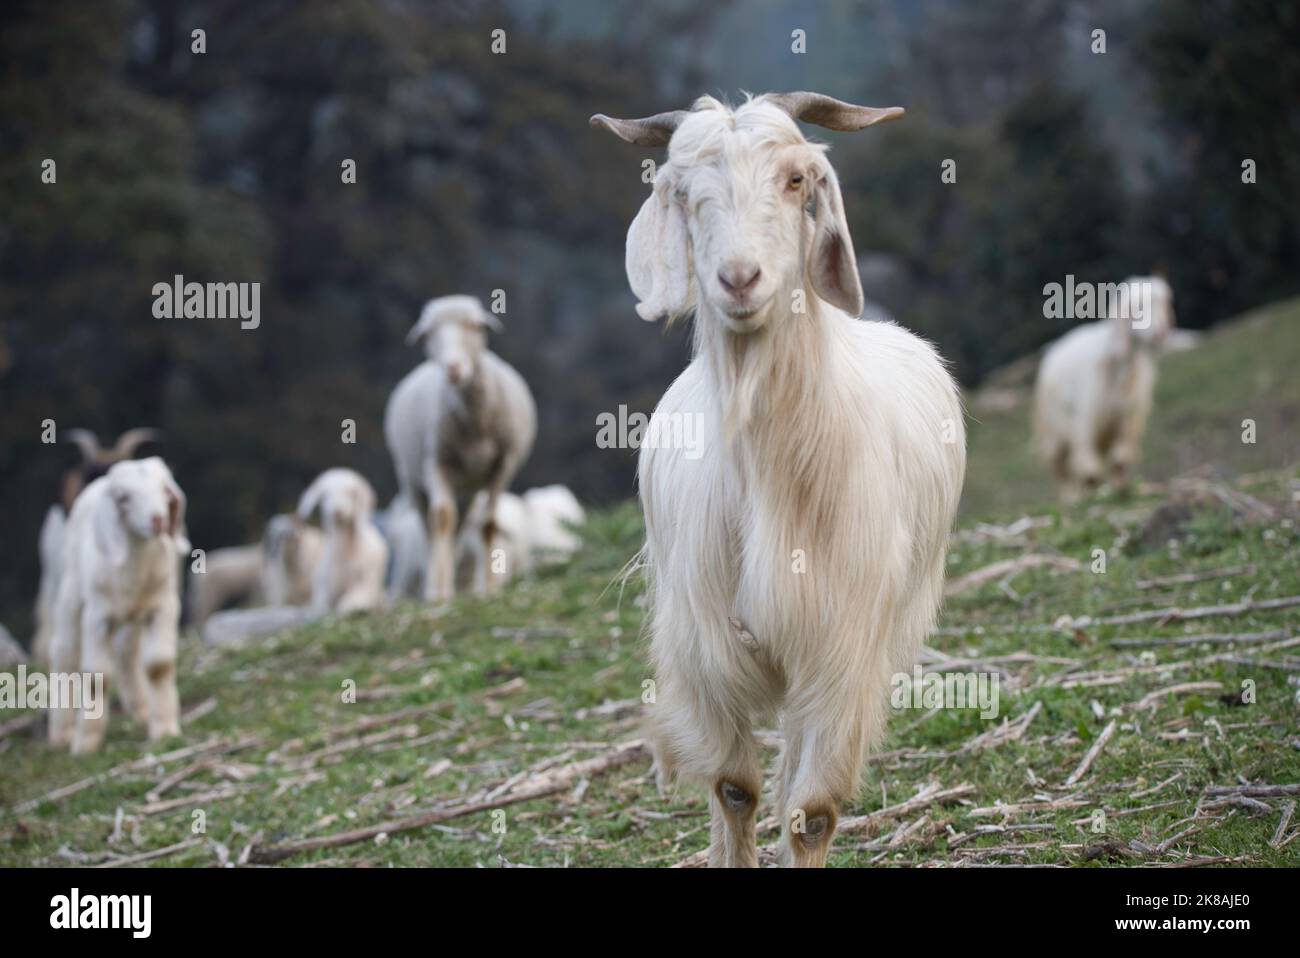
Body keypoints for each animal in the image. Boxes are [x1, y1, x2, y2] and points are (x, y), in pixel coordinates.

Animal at [48, 457, 186, 753]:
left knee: (127, 653)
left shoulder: (164, 606)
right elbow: (95, 675)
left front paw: (165, 730)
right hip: (71, 591)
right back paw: (61, 734)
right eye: (124, 499)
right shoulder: (97, 616)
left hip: (134, 617)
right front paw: (85, 744)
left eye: (165, 491)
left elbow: (158, 665)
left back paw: (142, 709)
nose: (158, 520)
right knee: (65, 651)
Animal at [384, 295, 537, 601]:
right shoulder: (437, 462)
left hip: (469, 487)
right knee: (432, 528)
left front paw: (488, 587)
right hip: (412, 478)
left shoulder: (502, 465)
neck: (475, 423)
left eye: (474, 326)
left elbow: (488, 525)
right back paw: (439, 582)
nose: (453, 368)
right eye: (428, 335)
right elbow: (442, 518)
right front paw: (437, 592)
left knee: (461, 525)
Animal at [593, 92, 966, 867]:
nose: (740, 281)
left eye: (796, 180)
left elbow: (813, 810)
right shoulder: (705, 650)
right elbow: (733, 788)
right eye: (682, 192)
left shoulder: (842, 647)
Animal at [1033, 275, 1175, 501]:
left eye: (1162, 304)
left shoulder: (1128, 416)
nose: (1160, 333)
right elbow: (1087, 465)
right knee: (1062, 470)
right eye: (1137, 308)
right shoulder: (1086, 416)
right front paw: (1093, 486)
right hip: (1054, 430)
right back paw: (1071, 498)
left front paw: (1119, 488)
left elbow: (1120, 458)